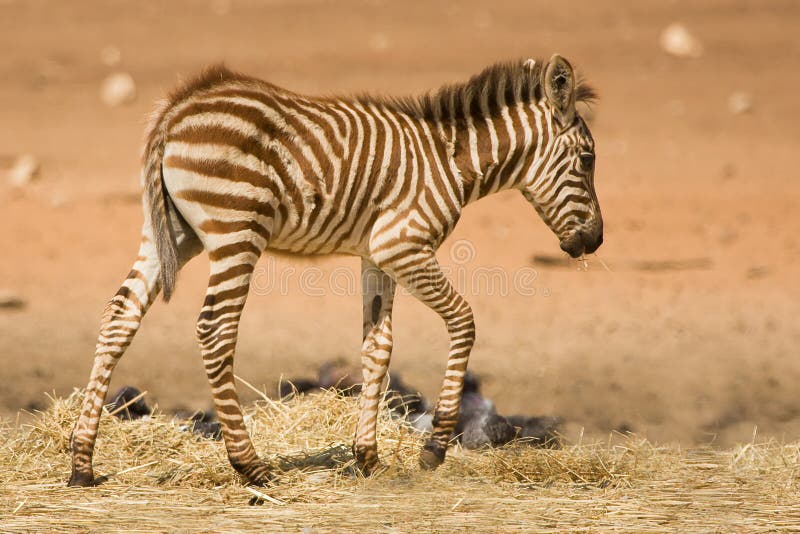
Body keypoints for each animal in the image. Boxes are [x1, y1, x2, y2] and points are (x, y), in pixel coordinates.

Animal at [68, 54, 602, 487]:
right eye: (587, 158)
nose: (595, 241)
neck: (451, 162)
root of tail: (178, 107)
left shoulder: (376, 255)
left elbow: (378, 346)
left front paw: (367, 458)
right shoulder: (403, 245)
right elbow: (463, 320)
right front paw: (434, 448)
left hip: (173, 234)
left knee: (119, 315)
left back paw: (82, 463)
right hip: (236, 231)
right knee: (215, 330)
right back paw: (250, 466)